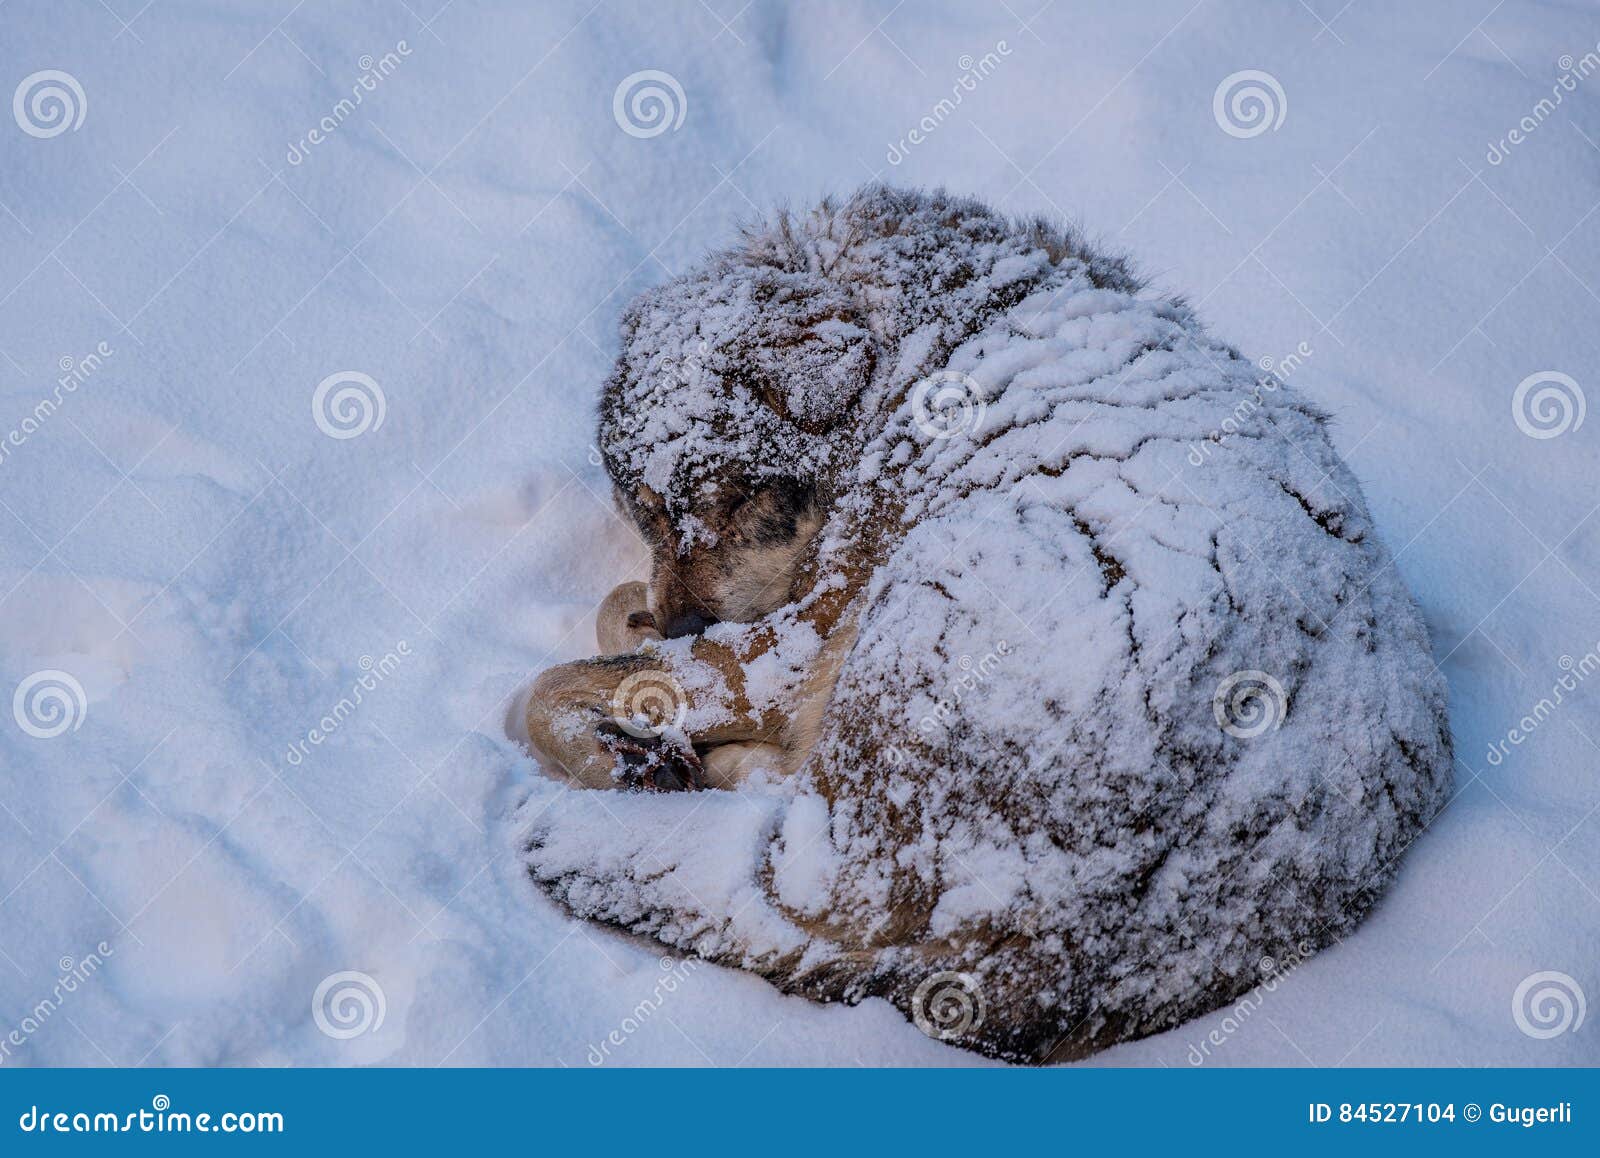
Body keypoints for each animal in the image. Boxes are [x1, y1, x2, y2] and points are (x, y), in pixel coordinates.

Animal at [520, 185, 1452, 1062]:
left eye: (737, 503)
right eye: (647, 512)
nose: (682, 618)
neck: (910, 355)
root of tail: (1076, 959)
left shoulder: (795, 643)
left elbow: (551, 686)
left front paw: (631, 736)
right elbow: (614, 622)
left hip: (933, 593)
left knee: (801, 892)